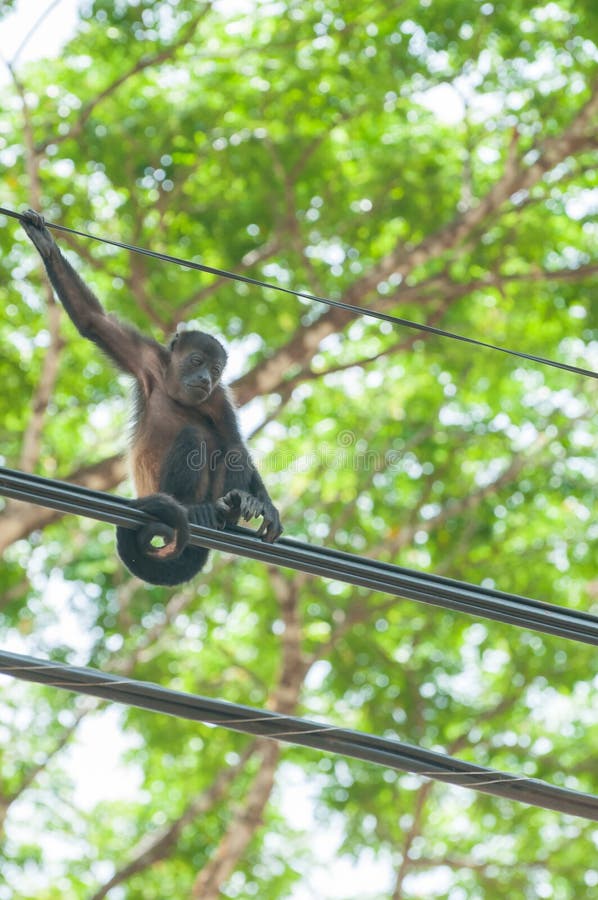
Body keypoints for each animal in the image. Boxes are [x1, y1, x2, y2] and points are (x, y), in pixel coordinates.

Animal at [20, 210, 282, 586]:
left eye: (216, 368)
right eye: (197, 361)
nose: (205, 378)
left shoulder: (218, 398)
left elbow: (235, 441)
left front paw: (267, 506)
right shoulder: (147, 358)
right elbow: (92, 320)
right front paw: (46, 245)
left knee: (229, 448)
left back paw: (233, 506)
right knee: (194, 437)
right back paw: (199, 508)